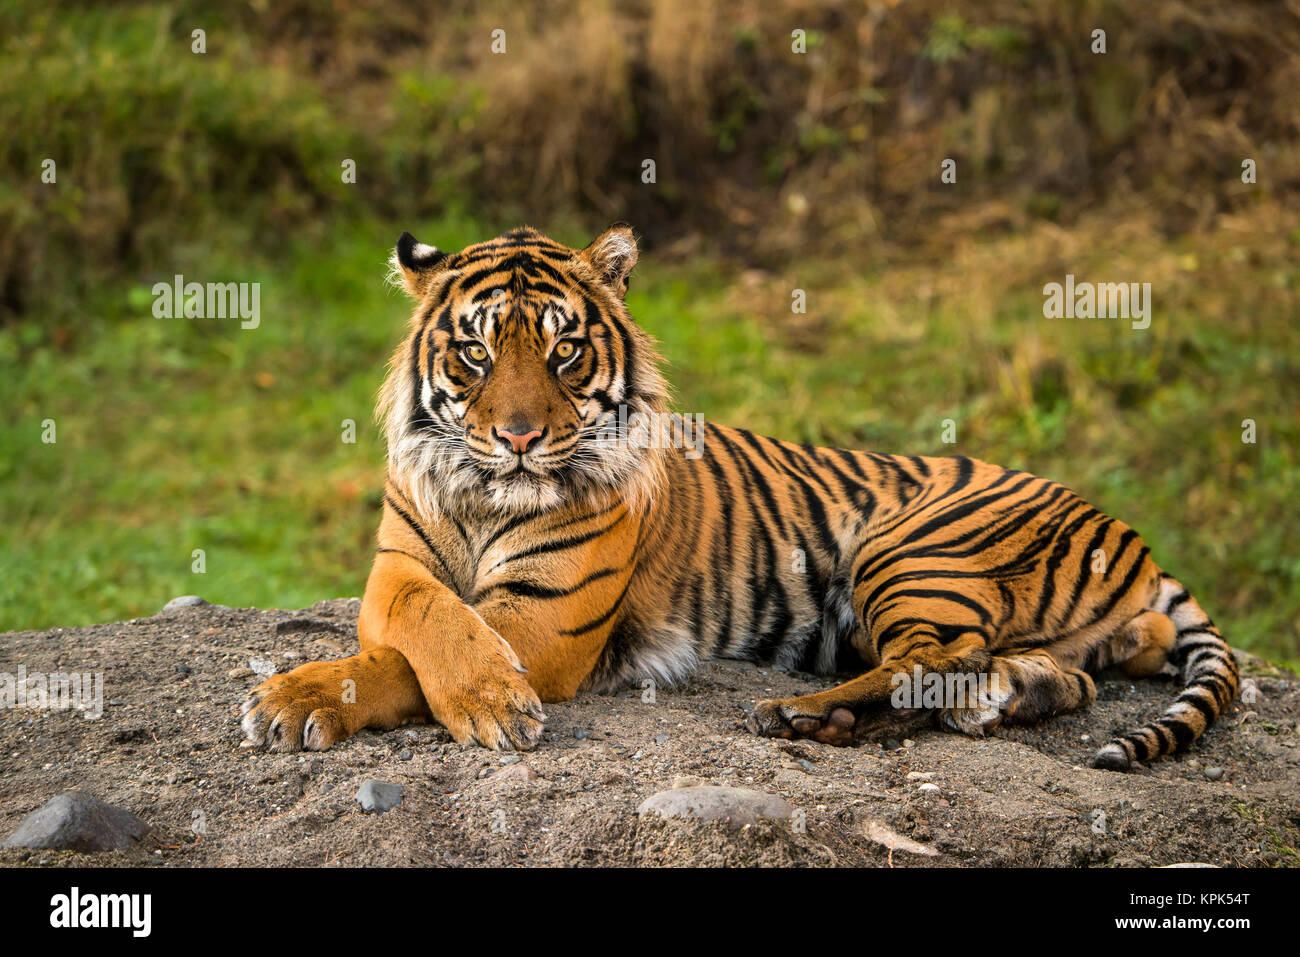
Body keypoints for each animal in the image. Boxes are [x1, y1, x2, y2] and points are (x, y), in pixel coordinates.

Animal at [240, 223, 1239, 771]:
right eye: (477, 352)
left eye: (564, 350)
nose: (519, 438)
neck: (486, 496)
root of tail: (1129, 531)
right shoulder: (396, 570)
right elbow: (422, 625)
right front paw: (312, 693)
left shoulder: (547, 618)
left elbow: (409, 661)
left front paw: (302, 699)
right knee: (1053, 671)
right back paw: (999, 699)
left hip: (911, 547)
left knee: (933, 659)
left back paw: (805, 712)